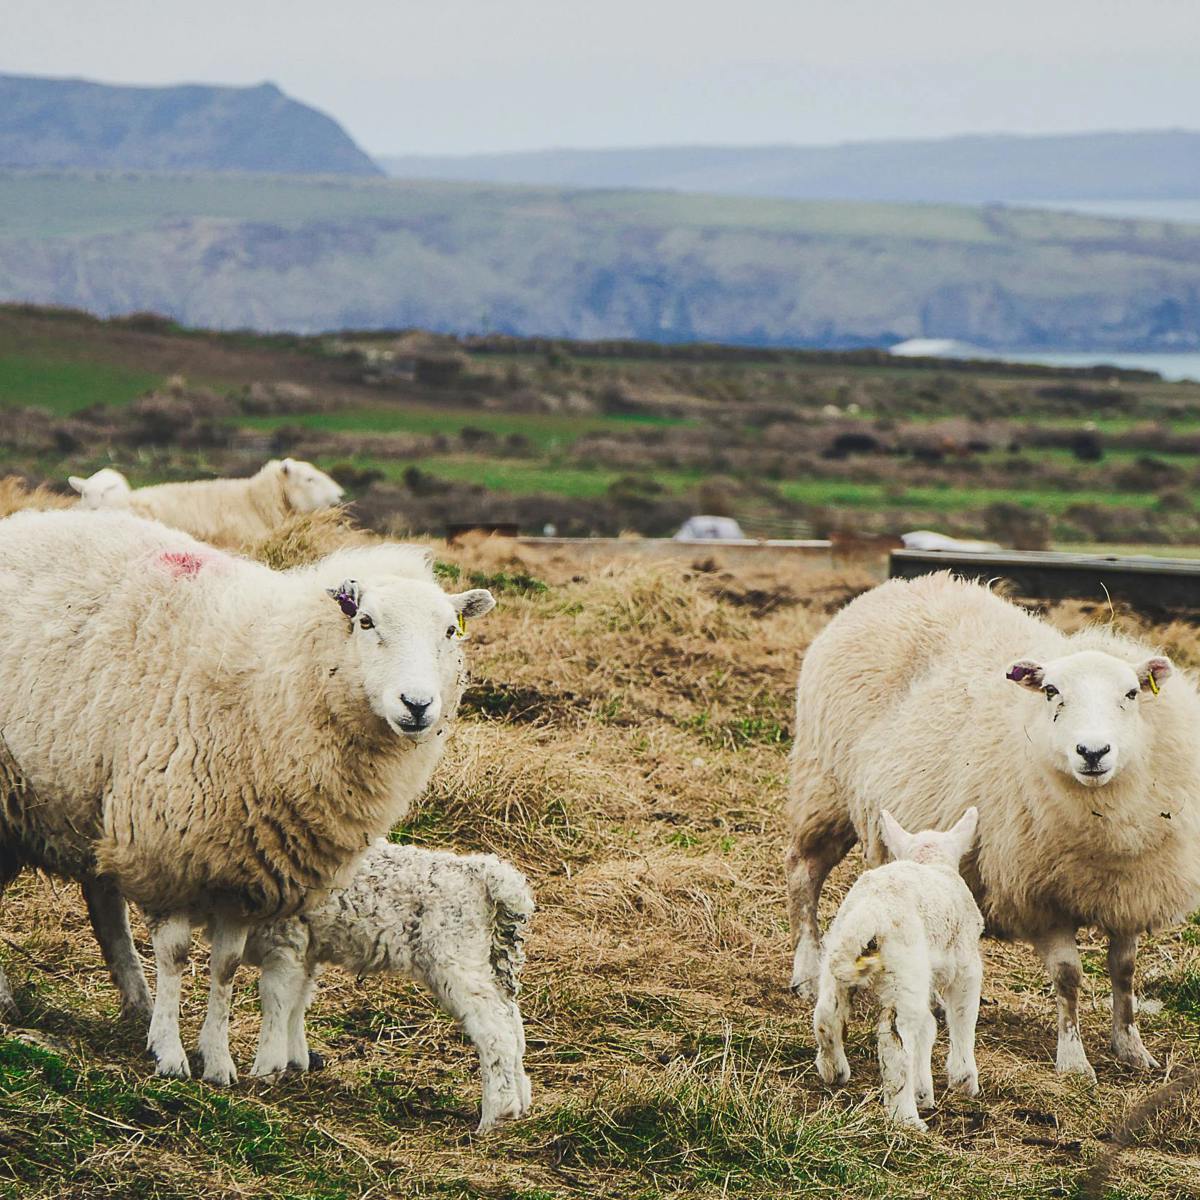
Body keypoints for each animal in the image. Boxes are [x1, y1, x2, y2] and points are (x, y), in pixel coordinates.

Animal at [0, 509, 494, 1085]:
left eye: (450, 631)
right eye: (367, 622)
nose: (417, 705)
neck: (273, 678)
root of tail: (20, 523)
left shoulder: (243, 868)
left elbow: (226, 966)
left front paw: (216, 1060)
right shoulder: (169, 847)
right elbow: (174, 956)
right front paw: (170, 1054)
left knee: (104, 903)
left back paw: (137, 1003)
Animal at [242, 840, 534, 1132]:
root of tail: (484, 872)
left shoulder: (285, 940)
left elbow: (275, 1000)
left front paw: (264, 1071)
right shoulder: (306, 948)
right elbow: (297, 1001)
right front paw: (294, 1062)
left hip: (454, 956)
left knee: (495, 1030)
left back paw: (495, 1115)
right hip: (494, 959)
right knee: (512, 1022)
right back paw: (518, 1105)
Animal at [786, 571, 1200, 1079]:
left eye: (1132, 693)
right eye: (1051, 692)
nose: (1092, 752)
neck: (1104, 819)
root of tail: (892, 588)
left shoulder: (1131, 891)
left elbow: (1124, 972)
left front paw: (1131, 1048)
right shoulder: (1039, 895)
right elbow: (1068, 977)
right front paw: (1073, 1059)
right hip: (822, 785)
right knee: (803, 874)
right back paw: (807, 972)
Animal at [813, 808, 983, 1130]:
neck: (930, 860)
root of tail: (872, 909)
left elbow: (927, 1028)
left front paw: (923, 1092)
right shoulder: (966, 966)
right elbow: (963, 1016)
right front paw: (964, 1079)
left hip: (840, 951)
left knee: (827, 1014)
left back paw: (834, 1070)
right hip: (904, 969)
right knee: (895, 1040)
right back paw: (906, 1118)